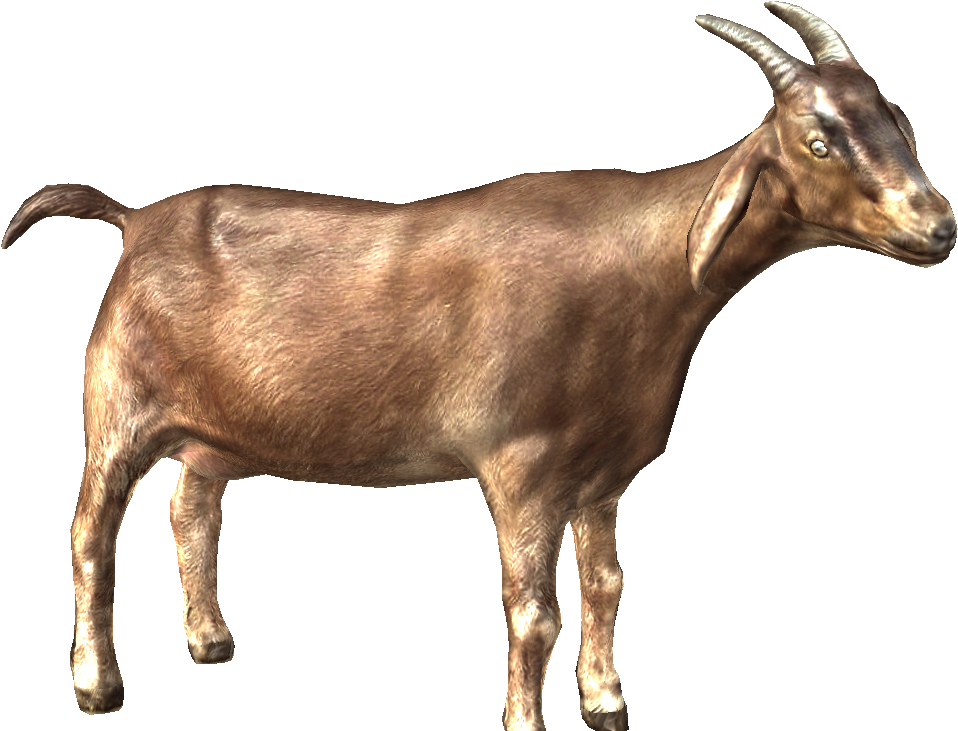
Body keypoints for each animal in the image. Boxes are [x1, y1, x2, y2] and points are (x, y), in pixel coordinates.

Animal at [3, 3, 952, 729]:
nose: (939, 225)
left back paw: (211, 641)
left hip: (214, 434)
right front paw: (525, 721)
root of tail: (132, 219)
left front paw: (606, 702)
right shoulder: (521, 465)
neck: (645, 272)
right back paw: (98, 684)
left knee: (192, 511)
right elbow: (534, 613)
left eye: (899, 123)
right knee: (91, 532)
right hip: (118, 405)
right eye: (817, 141)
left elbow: (608, 584)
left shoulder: (601, 476)